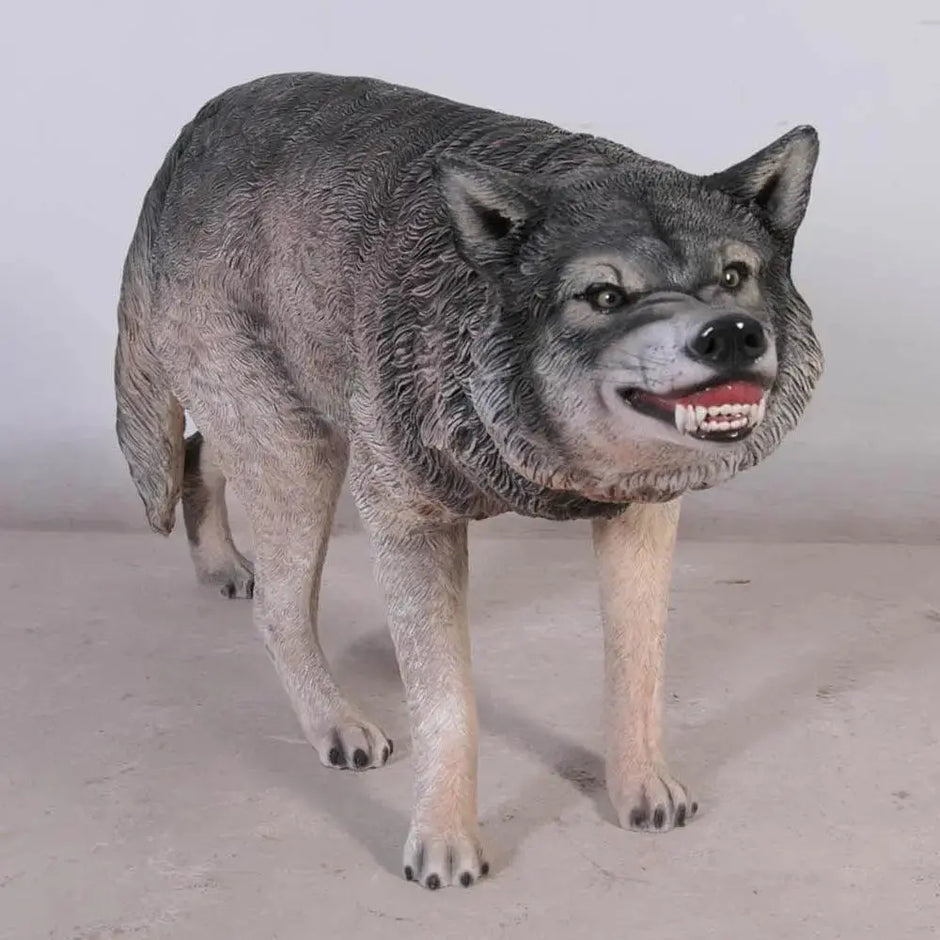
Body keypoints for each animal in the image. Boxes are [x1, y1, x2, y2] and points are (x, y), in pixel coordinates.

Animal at [114, 72, 823, 889]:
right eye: (604, 296)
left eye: (734, 276)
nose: (731, 335)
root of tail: (185, 147)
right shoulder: (409, 520)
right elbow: (449, 707)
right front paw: (444, 842)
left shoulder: (642, 513)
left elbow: (638, 668)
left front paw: (641, 787)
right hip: (302, 453)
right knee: (278, 609)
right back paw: (335, 722)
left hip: (294, 426)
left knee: (198, 453)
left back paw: (223, 565)